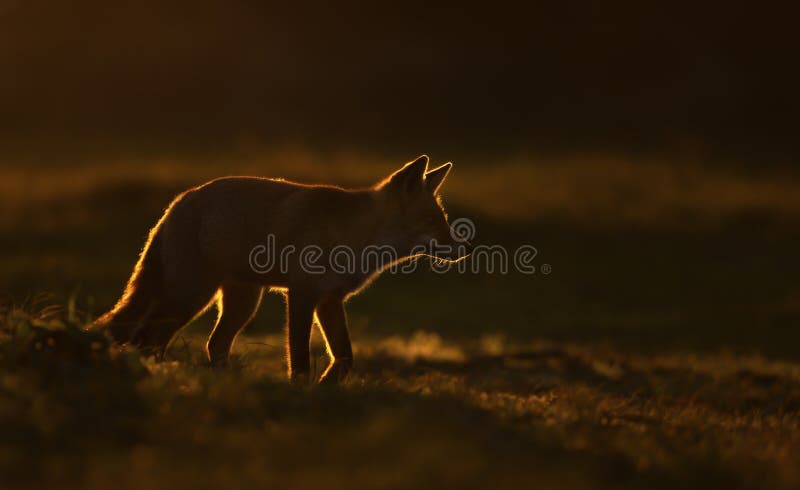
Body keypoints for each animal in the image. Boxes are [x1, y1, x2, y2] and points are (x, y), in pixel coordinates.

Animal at [94, 155, 471, 383]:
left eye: (443, 220)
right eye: (430, 221)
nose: (464, 249)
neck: (354, 237)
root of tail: (178, 202)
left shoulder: (331, 300)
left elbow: (345, 357)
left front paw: (328, 386)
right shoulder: (302, 294)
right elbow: (299, 356)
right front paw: (301, 390)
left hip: (242, 303)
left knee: (212, 343)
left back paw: (220, 381)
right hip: (190, 296)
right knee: (146, 338)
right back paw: (157, 376)